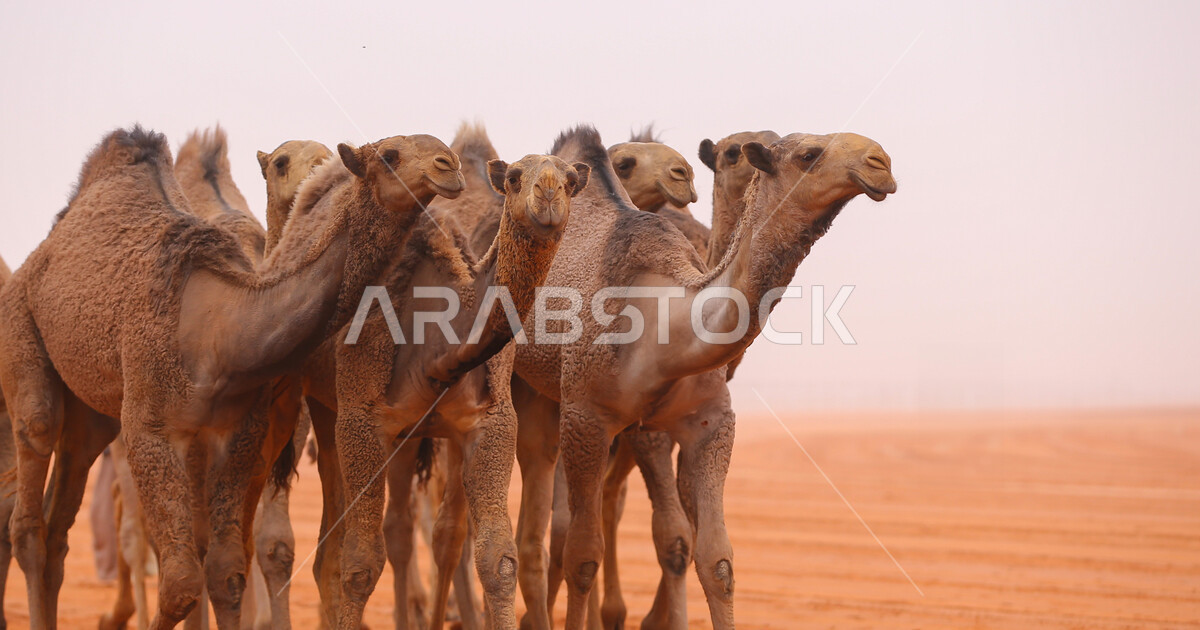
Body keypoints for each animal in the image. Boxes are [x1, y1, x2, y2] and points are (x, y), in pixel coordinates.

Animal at [0, 126, 465, 629]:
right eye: (390, 154)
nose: (450, 166)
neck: (222, 333)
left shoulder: (239, 431)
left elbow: (224, 573)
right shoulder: (149, 428)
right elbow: (180, 584)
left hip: (91, 414)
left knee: (58, 523)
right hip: (21, 333)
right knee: (31, 497)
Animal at [296, 135, 590, 629]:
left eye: (570, 181)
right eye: (514, 178)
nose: (548, 196)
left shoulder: (489, 421)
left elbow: (497, 558)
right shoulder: (360, 417)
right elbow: (358, 563)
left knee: (411, 528)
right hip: (323, 405)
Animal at [471, 126, 894, 630]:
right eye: (809, 154)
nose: (880, 162)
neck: (665, 320)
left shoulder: (708, 423)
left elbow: (716, 560)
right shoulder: (589, 418)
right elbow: (583, 556)